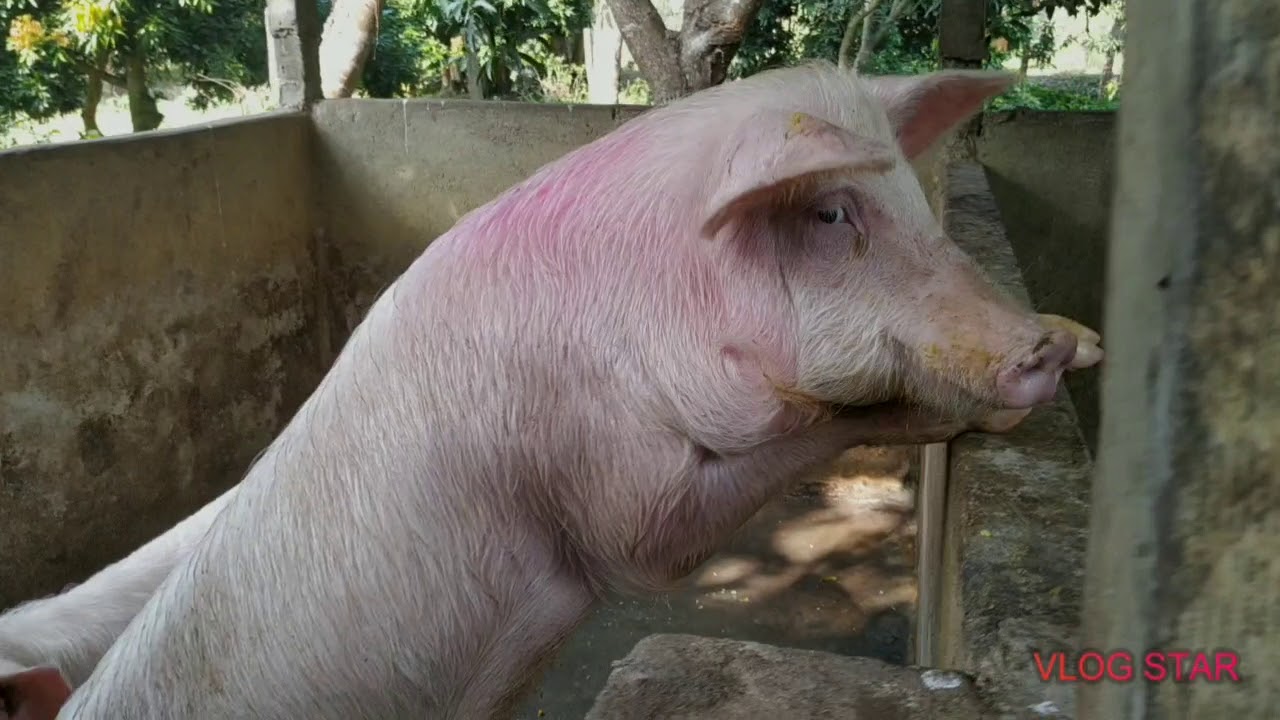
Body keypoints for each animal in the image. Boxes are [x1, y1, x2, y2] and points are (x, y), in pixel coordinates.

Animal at [0, 60, 1101, 720]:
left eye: (915, 204)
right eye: (831, 213)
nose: (1044, 348)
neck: (645, 303)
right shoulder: (596, 476)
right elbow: (652, 538)